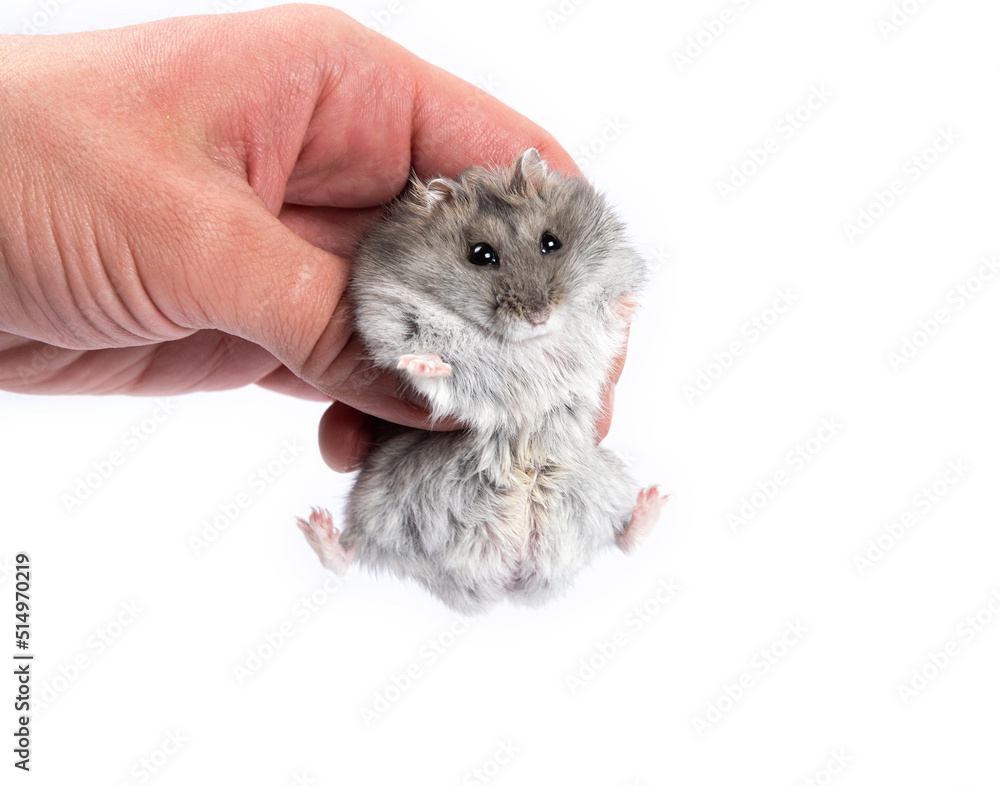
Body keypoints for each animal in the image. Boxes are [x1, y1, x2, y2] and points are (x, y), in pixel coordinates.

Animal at [296, 149, 666, 613]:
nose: (538, 316)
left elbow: (605, 319)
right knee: (349, 553)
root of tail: (509, 575)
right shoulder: (386, 319)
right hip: (375, 501)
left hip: (604, 481)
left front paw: (626, 302)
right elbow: (423, 362)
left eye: (551, 242)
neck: (521, 341)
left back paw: (654, 501)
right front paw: (426, 362)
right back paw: (314, 524)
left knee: (623, 536)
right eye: (480, 254)